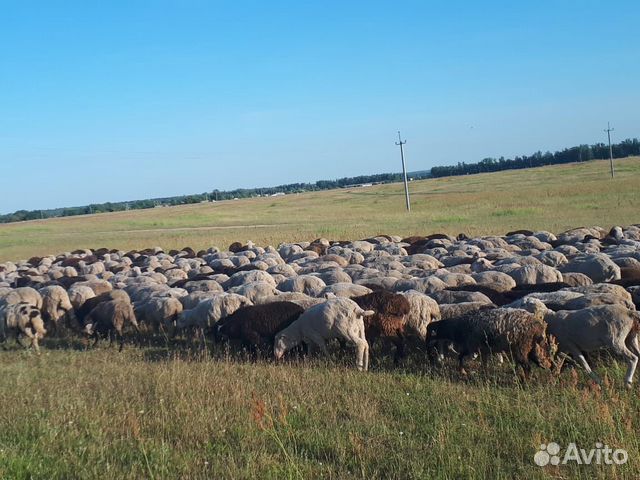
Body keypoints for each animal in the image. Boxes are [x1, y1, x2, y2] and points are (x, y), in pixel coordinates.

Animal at [426, 308, 554, 378]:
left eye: (429, 333)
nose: (429, 358)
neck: (457, 328)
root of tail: (538, 326)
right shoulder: (482, 349)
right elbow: (484, 364)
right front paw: (484, 374)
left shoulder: (471, 346)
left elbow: (460, 356)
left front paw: (463, 371)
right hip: (530, 347)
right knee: (537, 361)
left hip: (521, 347)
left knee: (527, 366)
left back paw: (525, 381)